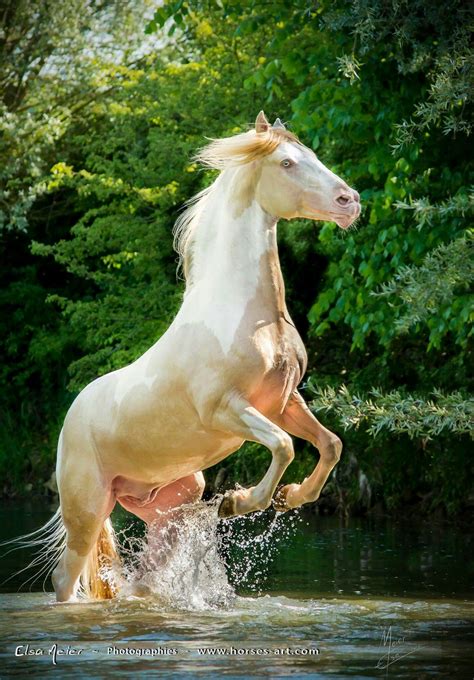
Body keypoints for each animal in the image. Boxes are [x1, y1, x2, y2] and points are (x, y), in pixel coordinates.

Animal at [18, 111, 360, 602]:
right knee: (67, 579)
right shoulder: (228, 409)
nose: (349, 202)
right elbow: (283, 445)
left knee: (144, 579)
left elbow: (329, 445)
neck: (248, 315)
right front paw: (237, 502)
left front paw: (290, 497)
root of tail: (69, 419)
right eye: (288, 163)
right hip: (86, 509)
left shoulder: (284, 402)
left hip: (168, 505)